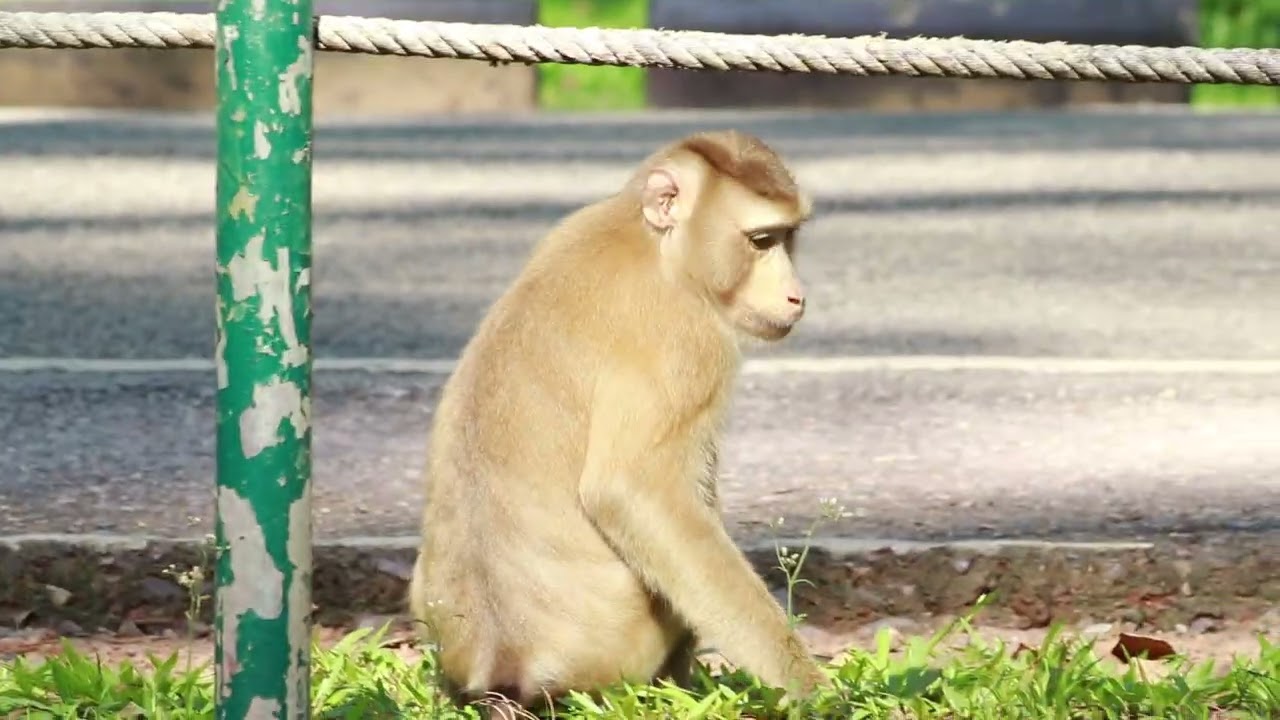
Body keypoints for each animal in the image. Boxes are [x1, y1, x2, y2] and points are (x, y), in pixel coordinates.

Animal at [408, 129, 828, 714]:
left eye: (788, 239)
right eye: (762, 240)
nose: (796, 295)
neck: (652, 239)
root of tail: (505, 666)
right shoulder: (690, 339)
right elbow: (633, 494)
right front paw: (814, 692)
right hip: (621, 645)